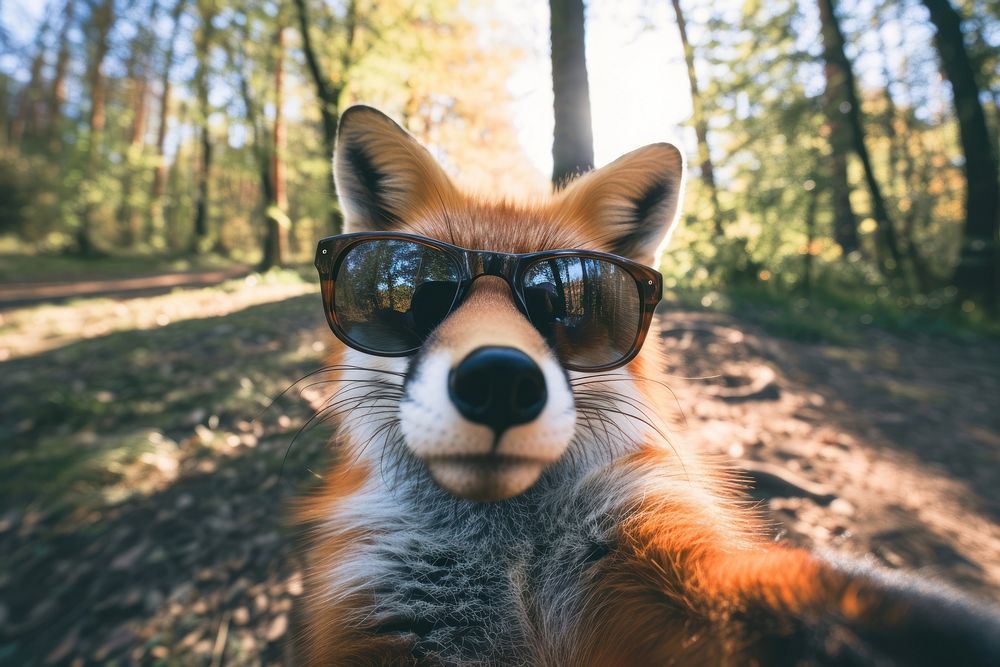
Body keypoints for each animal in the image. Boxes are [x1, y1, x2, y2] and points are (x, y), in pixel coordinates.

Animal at [294, 105, 1000, 665]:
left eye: (569, 302)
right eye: (417, 294)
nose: (499, 379)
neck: (512, 557)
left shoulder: (664, 547)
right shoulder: (377, 610)